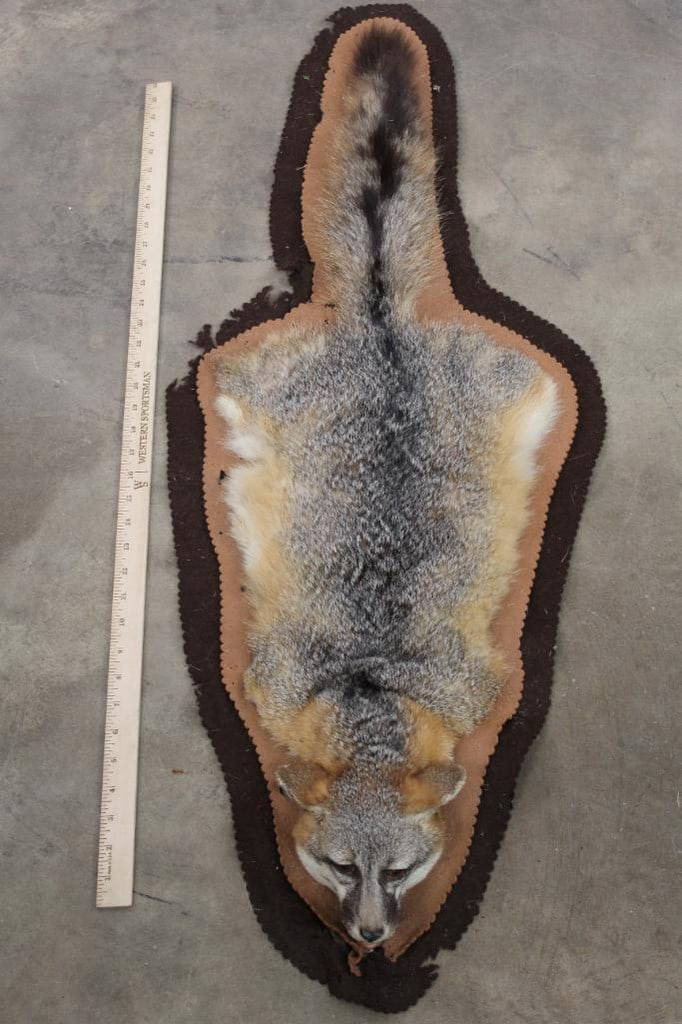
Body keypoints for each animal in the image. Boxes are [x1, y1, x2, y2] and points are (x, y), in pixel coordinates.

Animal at [213, 24, 559, 948]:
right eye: (338, 866)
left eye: (399, 871)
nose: (370, 941)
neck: (370, 685)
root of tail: (382, 324)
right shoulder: (262, 682)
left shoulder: (483, 692)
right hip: (239, 390)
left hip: (536, 393)